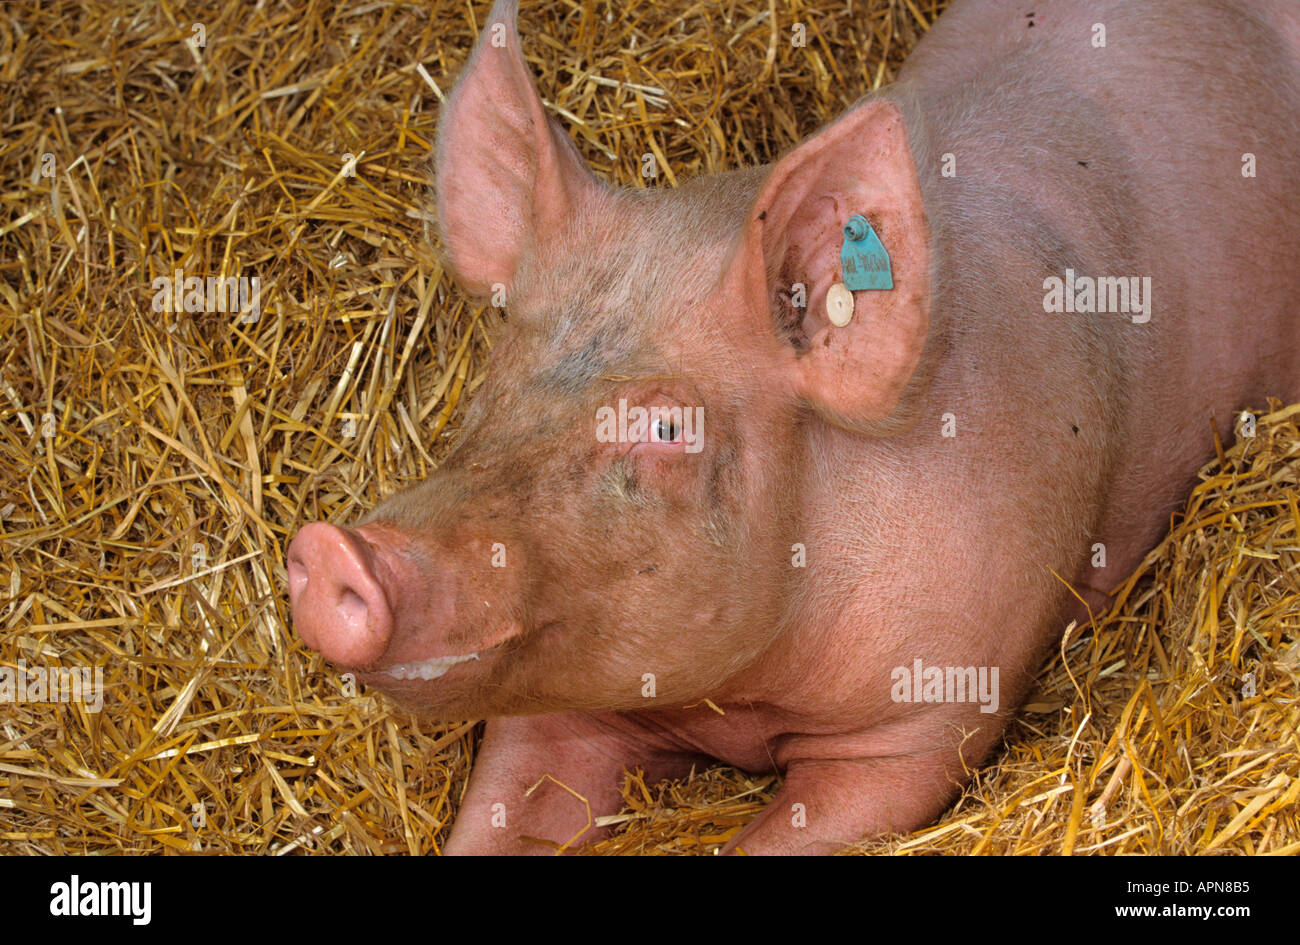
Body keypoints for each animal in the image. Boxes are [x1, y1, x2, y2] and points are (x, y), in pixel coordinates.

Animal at [287, 0, 1300, 853]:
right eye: (494, 379)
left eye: (667, 428)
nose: (336, 549)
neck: (740, 704)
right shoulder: (557, 698)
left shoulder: (920, 724)